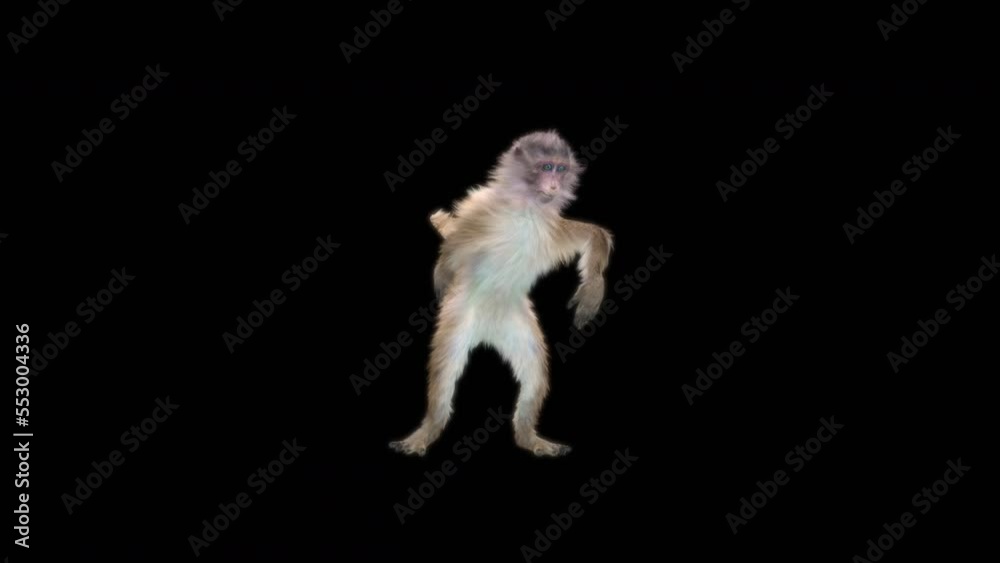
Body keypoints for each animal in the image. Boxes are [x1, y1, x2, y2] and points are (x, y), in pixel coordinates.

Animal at [389, 130, 613, 457]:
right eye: (546, 167)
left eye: (560, 169)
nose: (554, 185)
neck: (526, 207)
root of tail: (487, 333)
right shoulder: (481, 210)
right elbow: (451, 253)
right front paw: (442, 279)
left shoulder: (545, 228)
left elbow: (593, 236)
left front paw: (593, 287)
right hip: (461, 316)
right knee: (445, 368)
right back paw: (430, 428)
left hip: (516, 325)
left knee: (534, 371)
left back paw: (527, 436)